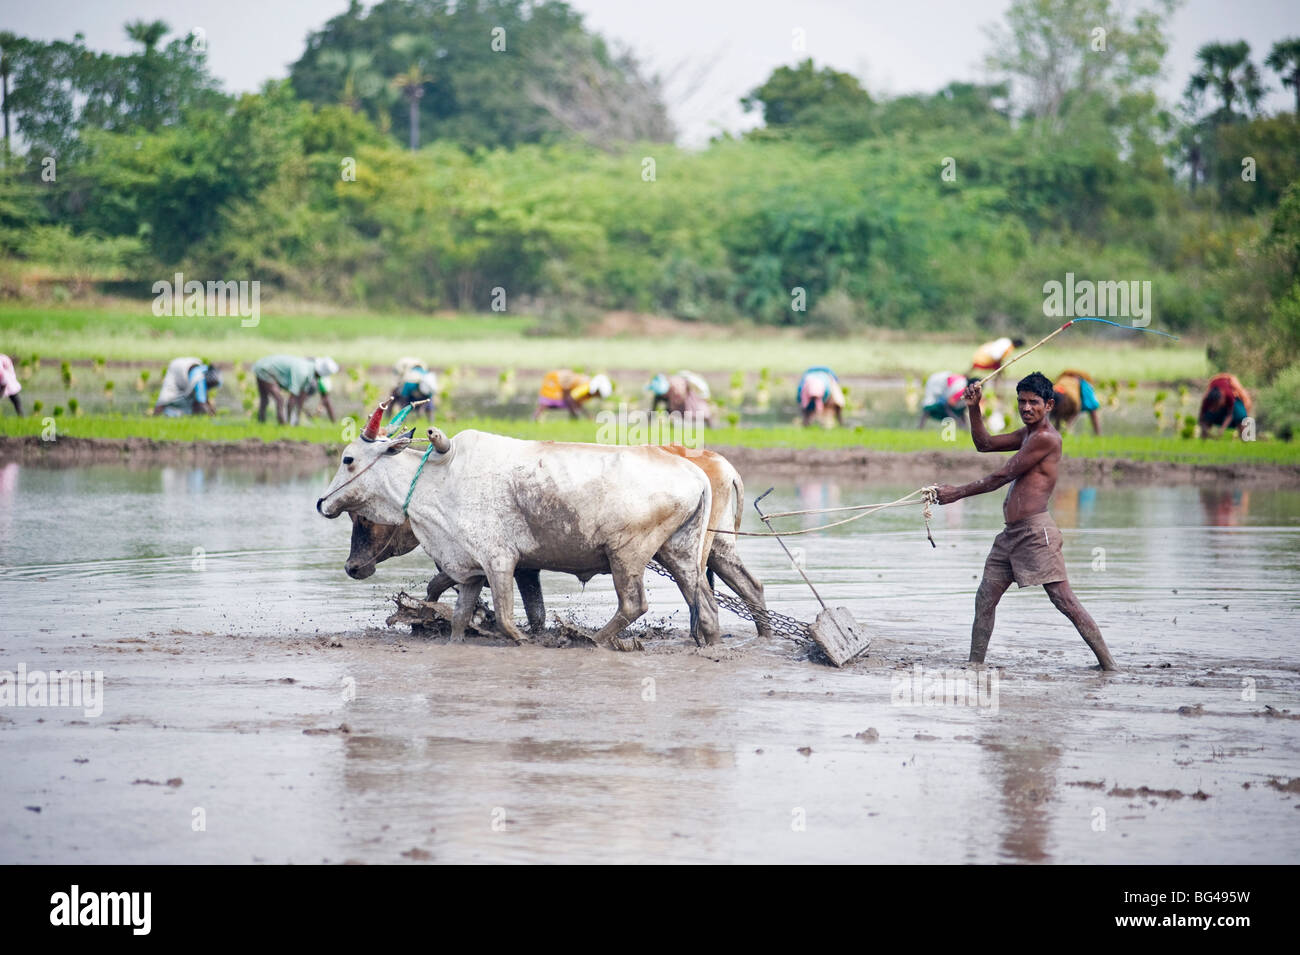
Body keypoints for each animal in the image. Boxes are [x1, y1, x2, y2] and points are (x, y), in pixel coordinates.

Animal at [317, 413, 720, 650]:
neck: (437, 480)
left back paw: (591, 639)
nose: (322, 503)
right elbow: (460, 617)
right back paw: (708, 640)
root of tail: (695, 473)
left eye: (348, 458)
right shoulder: (469, 570)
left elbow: (508, 619)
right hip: (680, 554)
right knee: (704, 603)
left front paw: (523, 638)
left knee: (635, 604)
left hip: (627, 555)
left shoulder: (499, 561)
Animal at [343, 445, 771, 639]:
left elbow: (437, 583)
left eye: (362, 517)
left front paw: (425, 615)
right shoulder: (525, 566)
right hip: (713, 551)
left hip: (677, 551)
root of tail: (720, 463)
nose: (352, 567)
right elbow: (535, 612)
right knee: (746, 588)